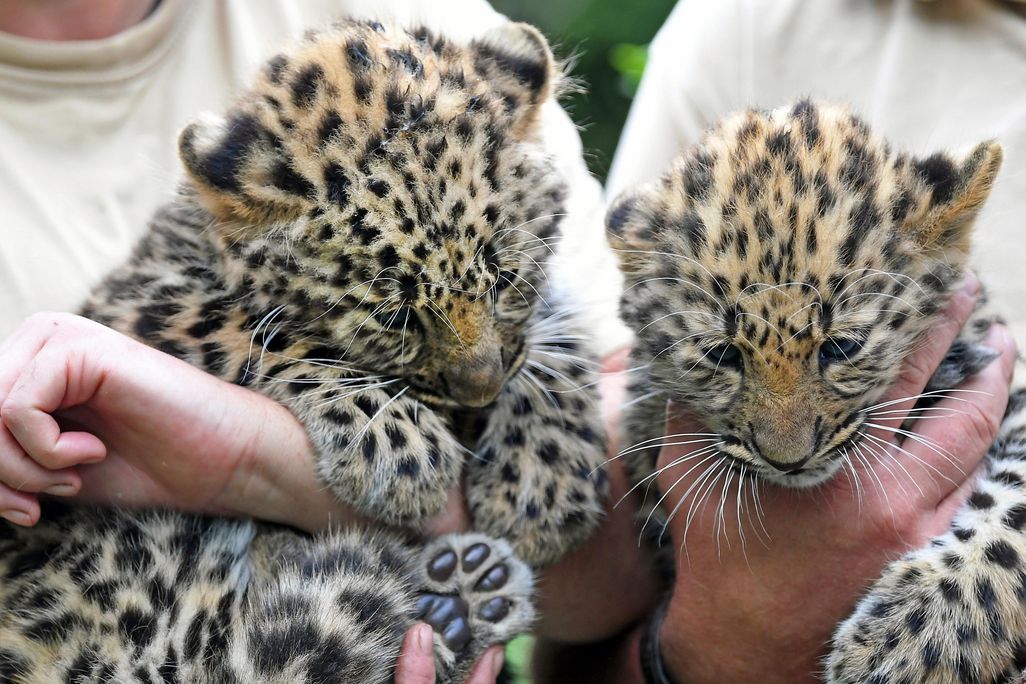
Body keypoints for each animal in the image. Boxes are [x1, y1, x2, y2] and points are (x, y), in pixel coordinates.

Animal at [0, 18, 609, 683]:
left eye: (504, 282)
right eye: (394, 318)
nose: (481, 391)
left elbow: (557, 331)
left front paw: (543, 485)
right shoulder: (136, 301)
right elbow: (253, 328)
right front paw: (399, 447)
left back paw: (460, 596)